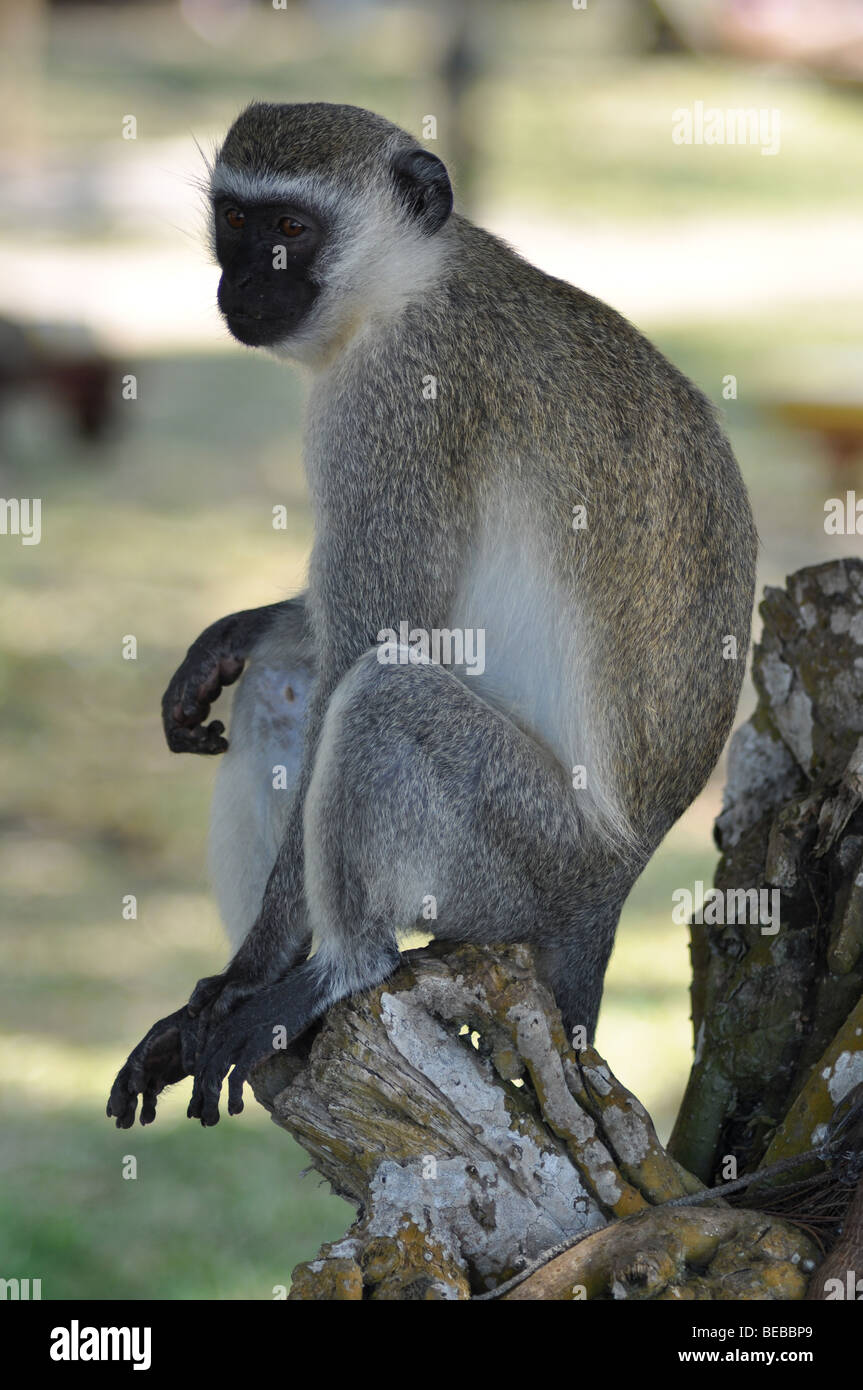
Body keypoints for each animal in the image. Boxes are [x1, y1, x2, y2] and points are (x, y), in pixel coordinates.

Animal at [107, 101, 757, 1130]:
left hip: (528, 855)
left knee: (379, 697)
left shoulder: (393, 411)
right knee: (289, 691)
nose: (240, 282)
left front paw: (248, 973)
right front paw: (238, 632)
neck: (407, 282)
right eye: (237, 220)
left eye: (292, 228)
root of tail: (612, 889)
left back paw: (335, 970)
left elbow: (372, 637)